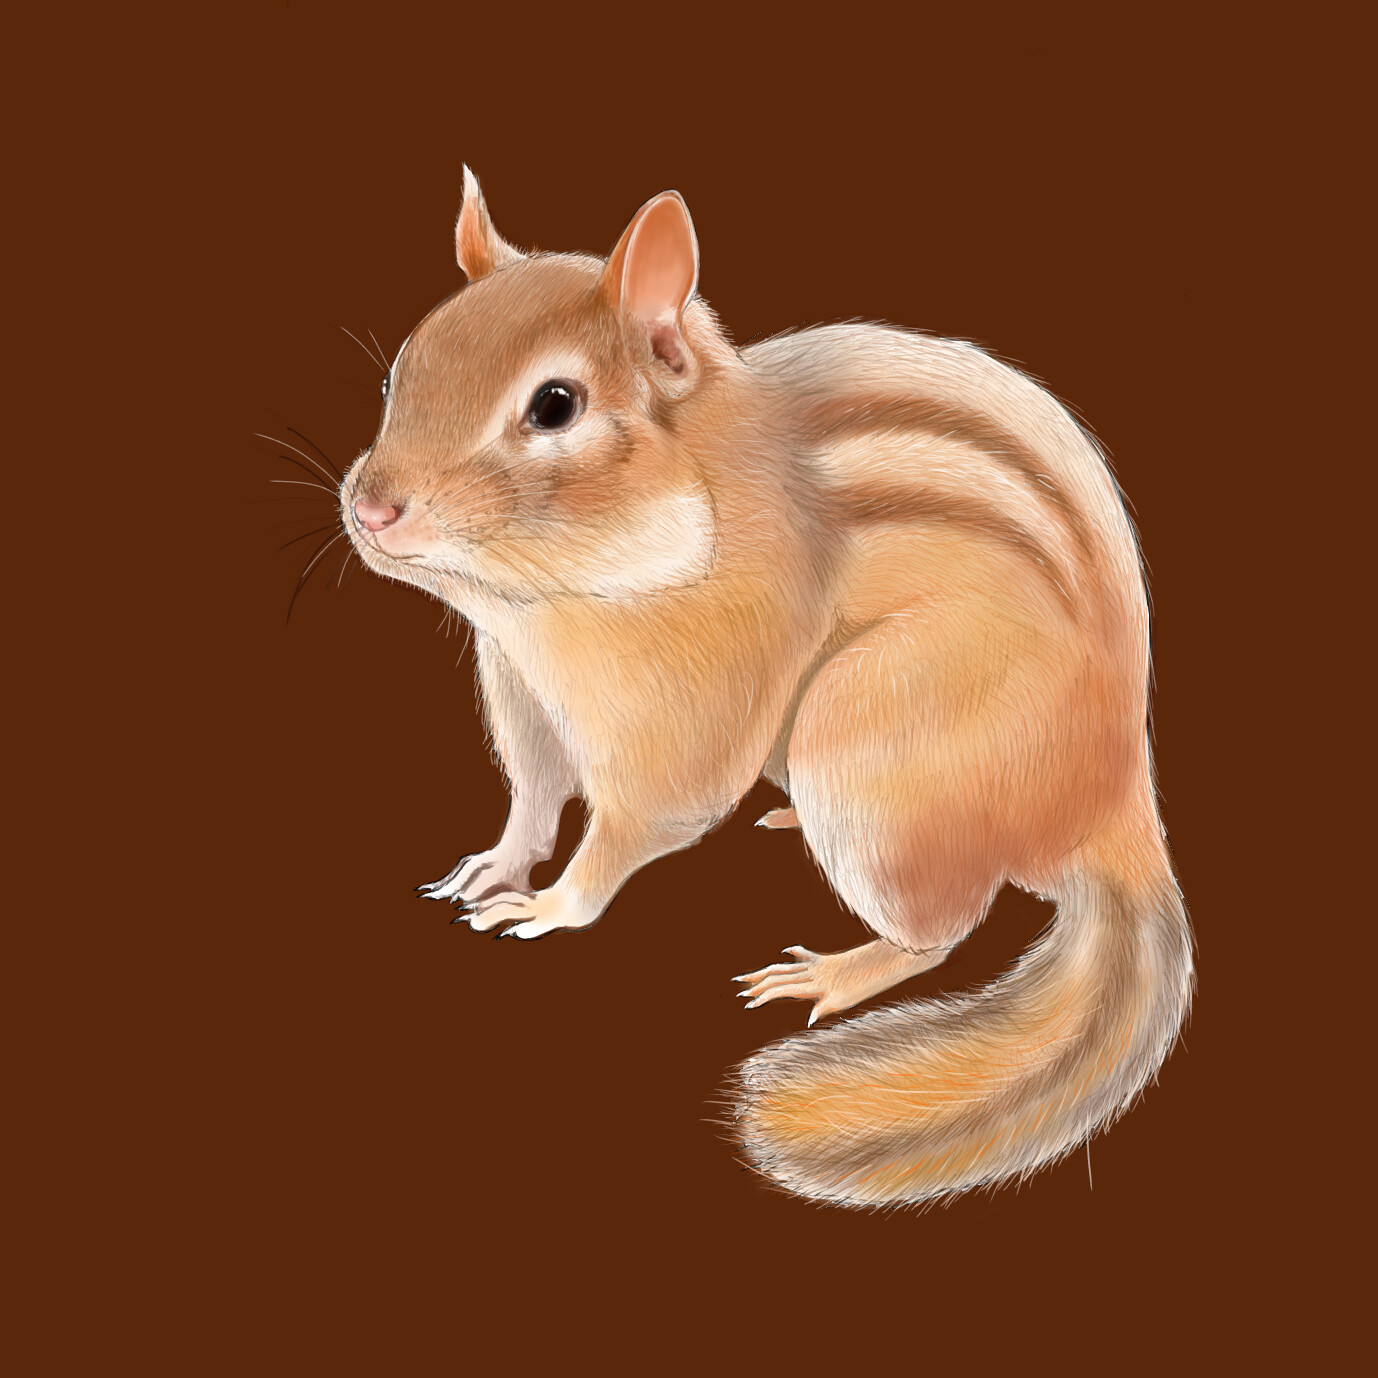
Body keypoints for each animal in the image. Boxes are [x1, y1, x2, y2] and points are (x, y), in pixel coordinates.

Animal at [340, 168, 1193, 1208]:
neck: (544, 610)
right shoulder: (524, 702)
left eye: (555, 406)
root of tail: (1115, 807)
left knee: (941, 932)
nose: (371, 509)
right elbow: (534, 800)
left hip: (866, 745)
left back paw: (831, 974)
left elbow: (638, 823)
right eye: (399, 373)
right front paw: (497, 865)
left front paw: (548, 906)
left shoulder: (689, 707)